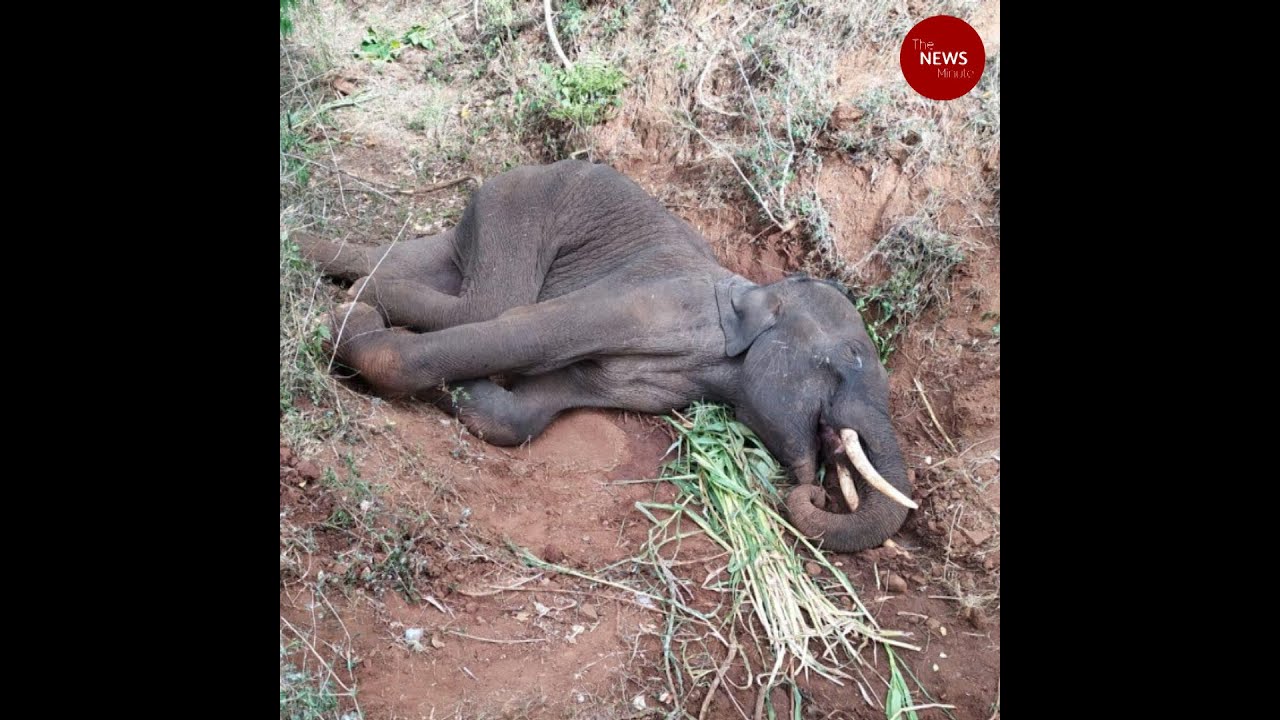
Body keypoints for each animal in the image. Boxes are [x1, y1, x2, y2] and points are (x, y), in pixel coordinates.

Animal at [294, 159, 916, 552]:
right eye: (846, 361)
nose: (817, 493)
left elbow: (531, 407)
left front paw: (472, 391)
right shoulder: (654, 300)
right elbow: (525, 328)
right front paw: (354, 330)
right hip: (519, 206)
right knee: (488, 303)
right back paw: (359, 303)